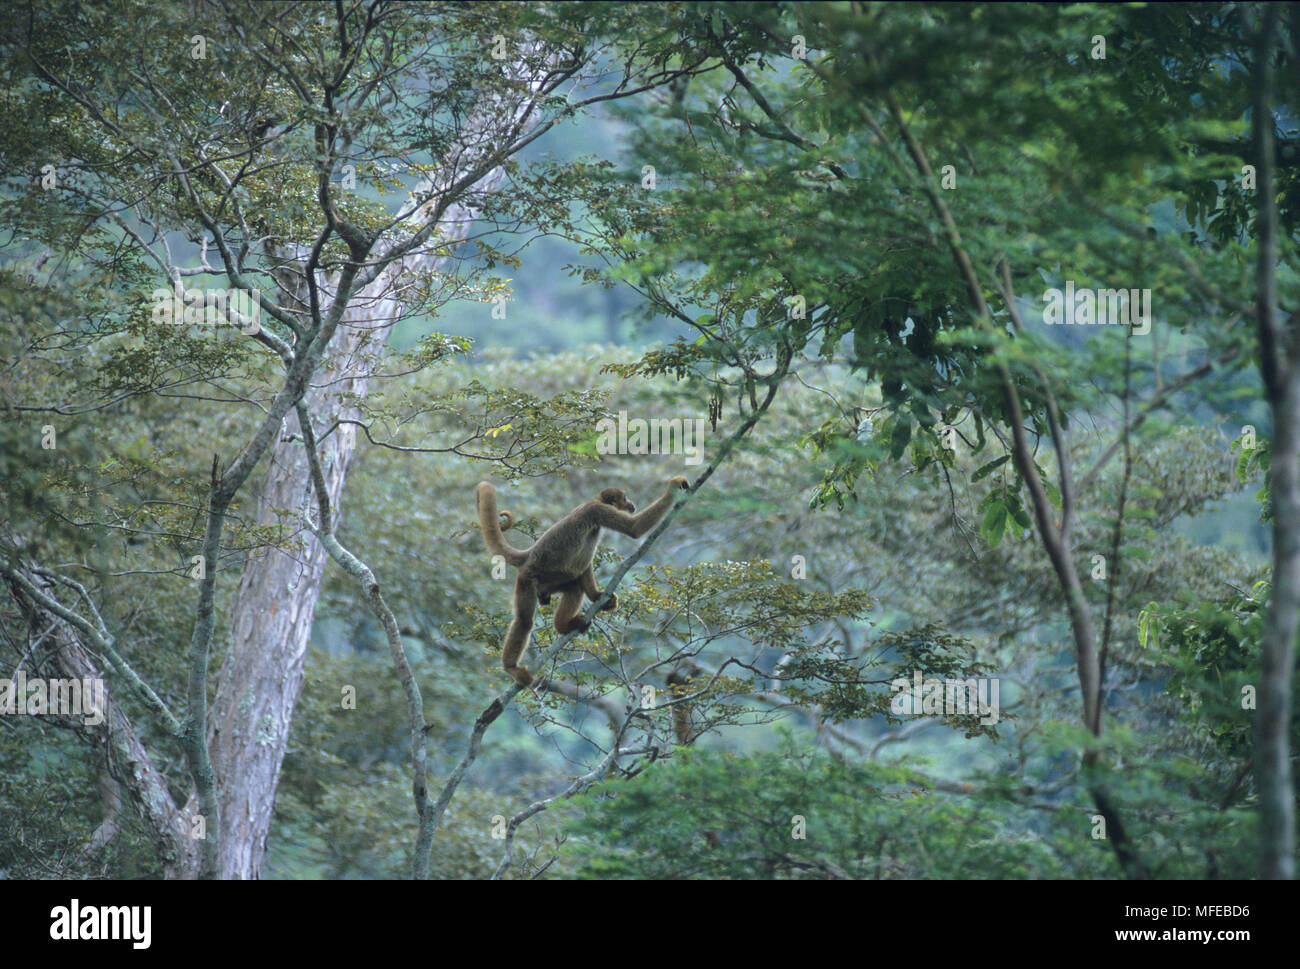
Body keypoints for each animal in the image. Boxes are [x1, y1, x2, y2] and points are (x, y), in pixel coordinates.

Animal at [476, 475, 690, 687]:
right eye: (625, 498)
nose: (631, 504)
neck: (595, 500)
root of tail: (529, 555)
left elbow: (583, 567)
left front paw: (597, 596)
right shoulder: (597, 511)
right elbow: (633, 529)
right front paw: (673, 488)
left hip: (549, 582)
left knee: (574, 589)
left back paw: (562, 626)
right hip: (528, 579)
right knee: (524, 620)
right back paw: (511, 667)